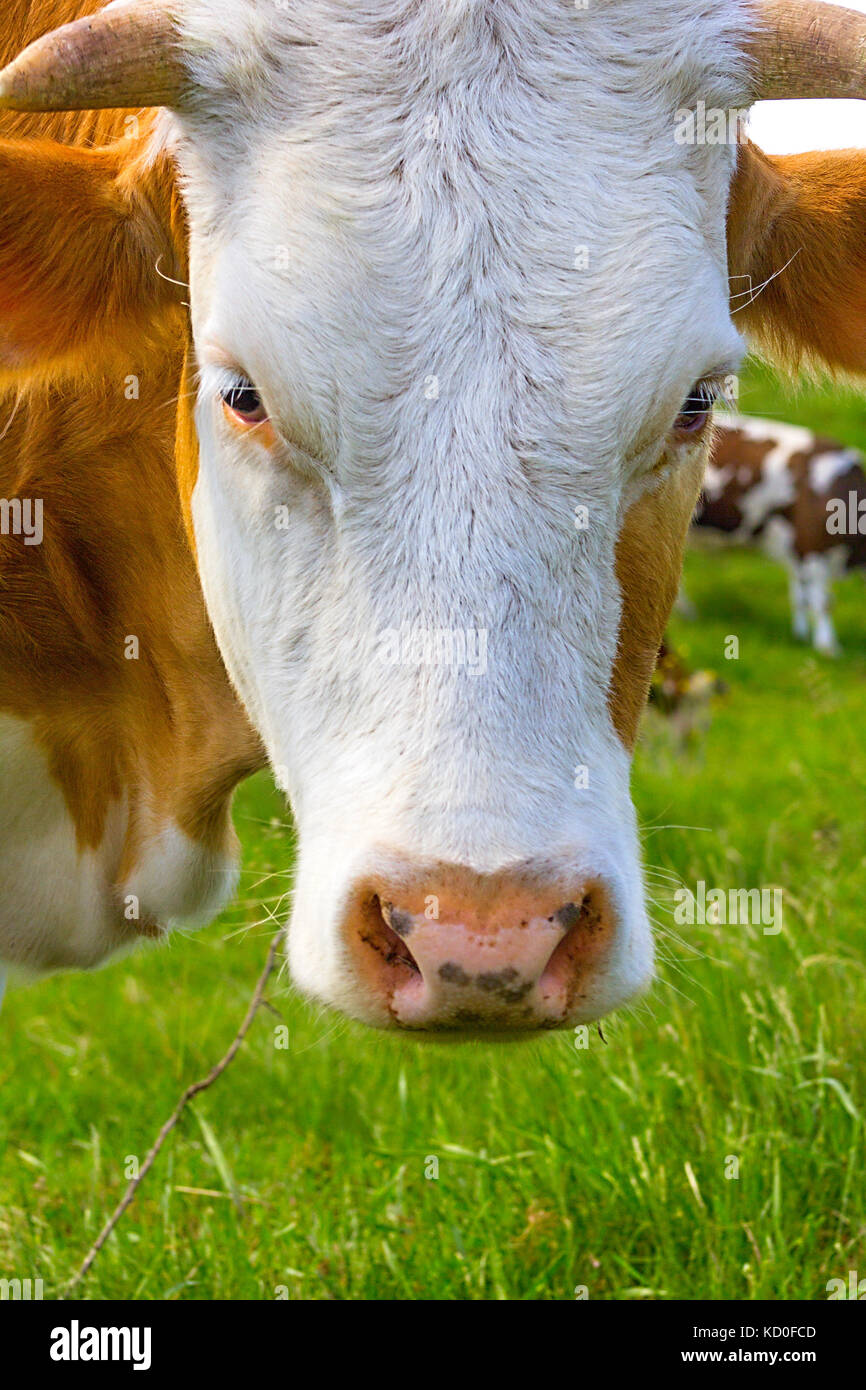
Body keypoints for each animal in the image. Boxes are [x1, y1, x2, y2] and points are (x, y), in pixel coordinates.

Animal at [690, 413, 866, 654]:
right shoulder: (813, 551)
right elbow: (822, 602)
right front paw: (827, 646)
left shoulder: (798, 550)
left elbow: (801, 596)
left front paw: (801, 635)